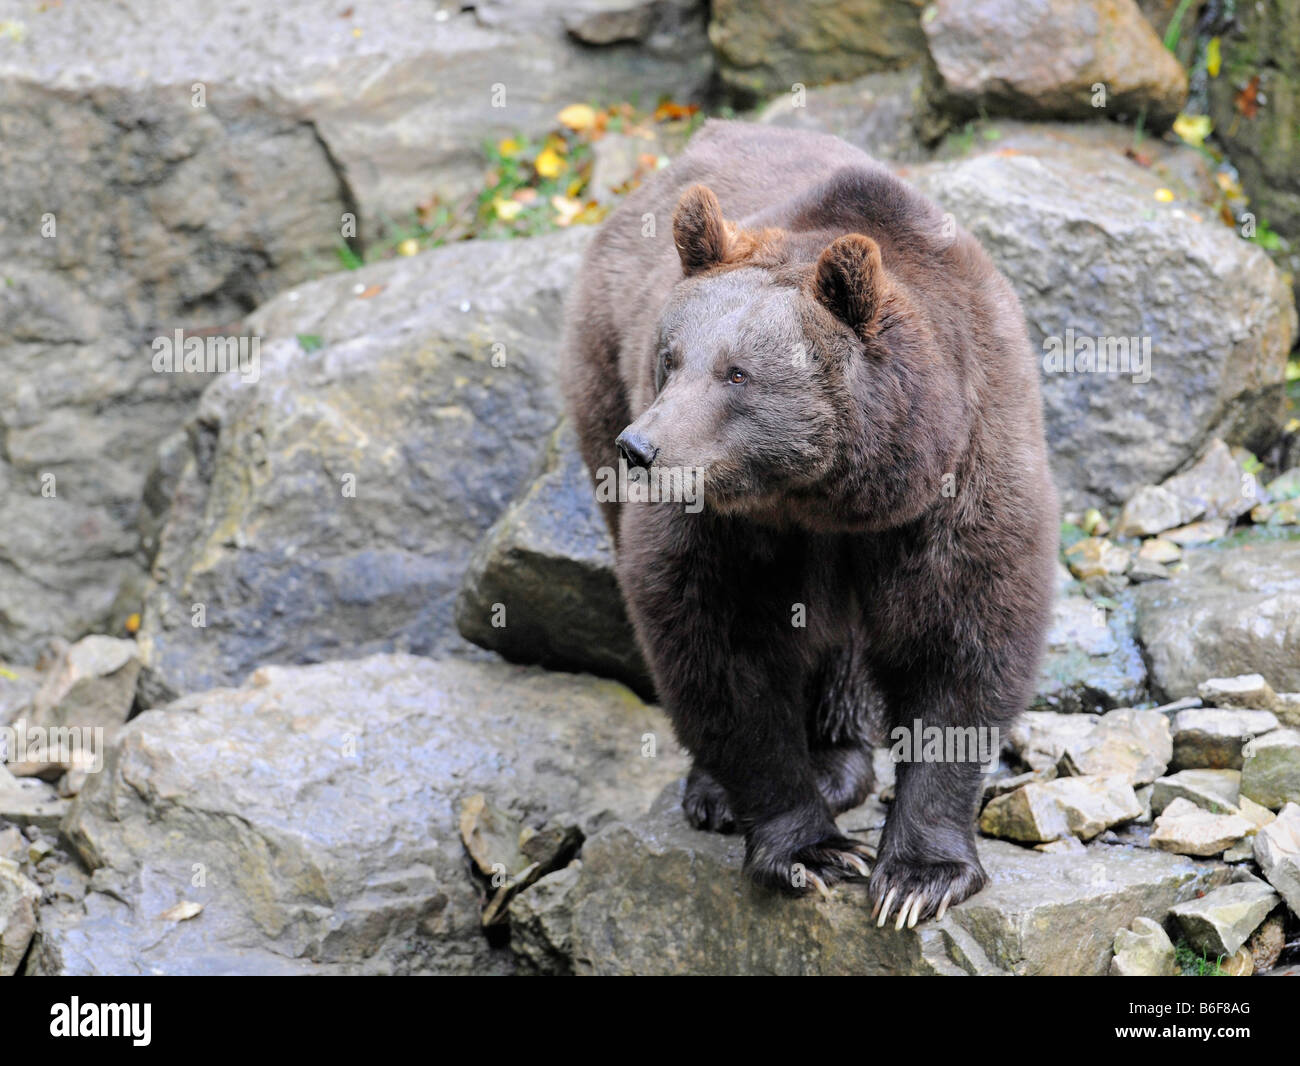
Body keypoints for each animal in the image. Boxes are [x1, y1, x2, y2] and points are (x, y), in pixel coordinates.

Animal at [562, 120, 1058, 927]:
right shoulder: (723, 524)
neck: (832, 494)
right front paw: (810, 851)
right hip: (599, 364)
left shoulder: (961, 474)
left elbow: (964, 642)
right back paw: (725, 788)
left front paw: (918, 876)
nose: (641, 448)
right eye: (671, 358)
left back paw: (835, 757)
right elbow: (719, 650)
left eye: (736, 373)